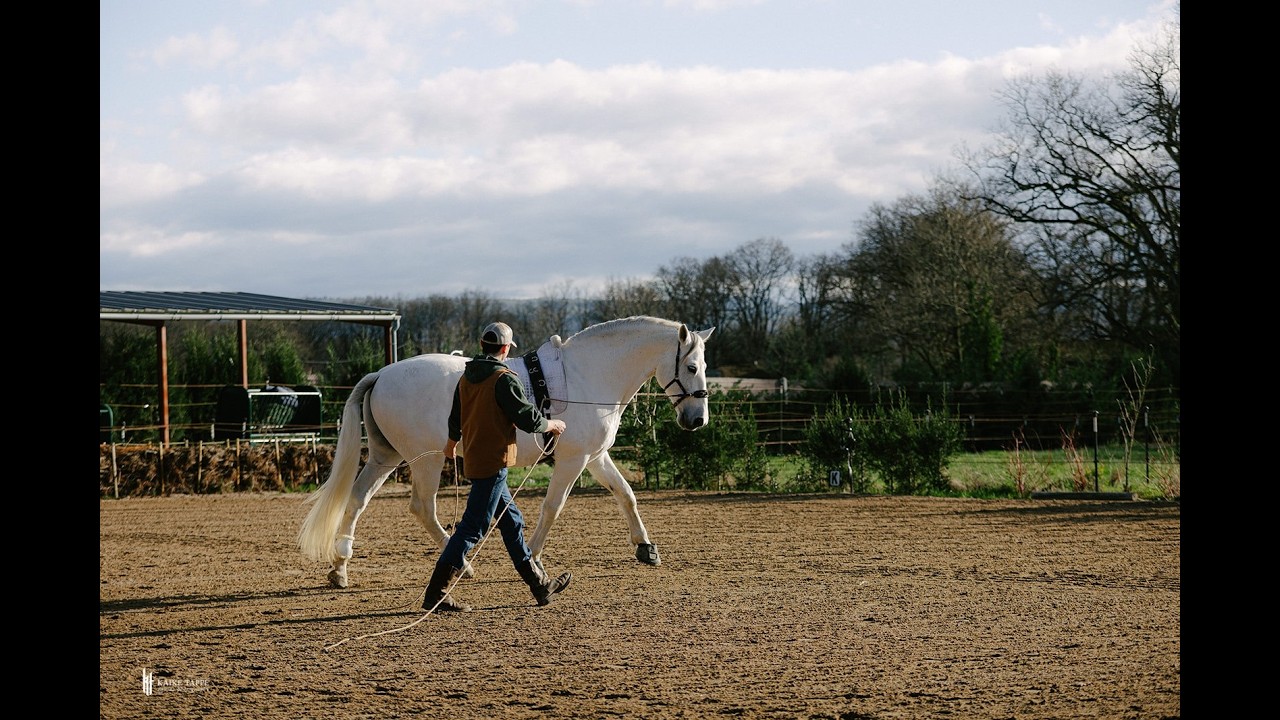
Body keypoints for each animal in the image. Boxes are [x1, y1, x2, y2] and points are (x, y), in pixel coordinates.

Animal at [297, 316, 715, 589]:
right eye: (692, 366)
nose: (697, 420)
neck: (588, 375)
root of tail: (382, 374)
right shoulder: (573, 460)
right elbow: (552, 508)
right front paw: (534, 558)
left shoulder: (595, 457)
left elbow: (626, 495)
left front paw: (646, 548)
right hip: (427, 459)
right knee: (422, 508)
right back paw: (462, 566)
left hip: (386, 456)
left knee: (357, 499)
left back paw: (340, 568)